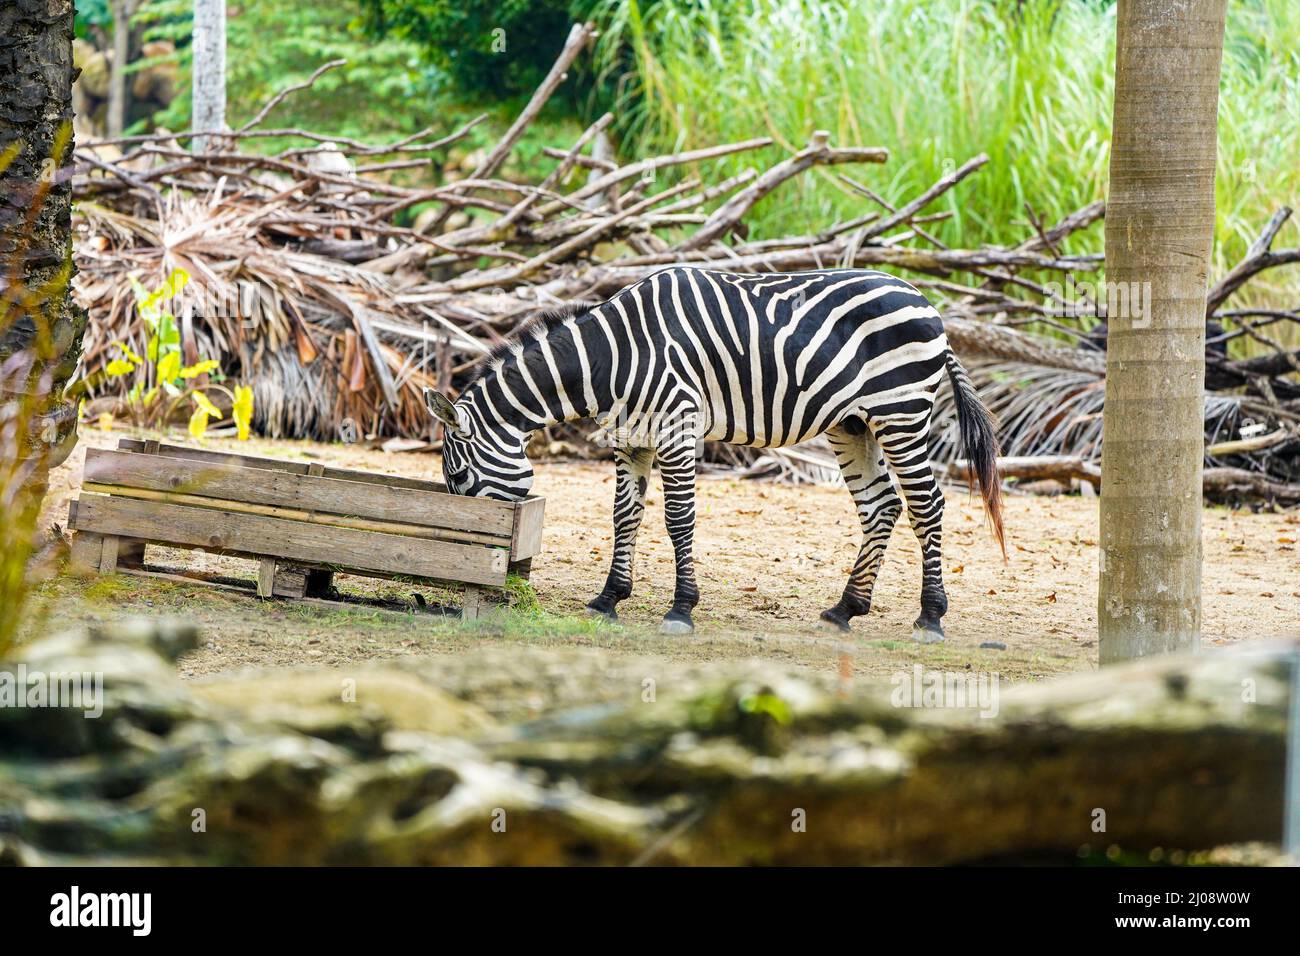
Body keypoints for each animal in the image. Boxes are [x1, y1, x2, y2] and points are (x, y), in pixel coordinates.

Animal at [424, 266, 1005, 640]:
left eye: (459, 477)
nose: (465, 567)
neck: (614, 357)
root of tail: (927, 302)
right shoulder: (630, 438)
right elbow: (624, 516)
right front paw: (610, 598)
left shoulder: (677, 426)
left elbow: (678, 518)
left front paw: (681, 608)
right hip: (853, 423)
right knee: (881, 505)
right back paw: (846, 608)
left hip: (900, 411)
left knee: (927, 505)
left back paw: (930, 616)